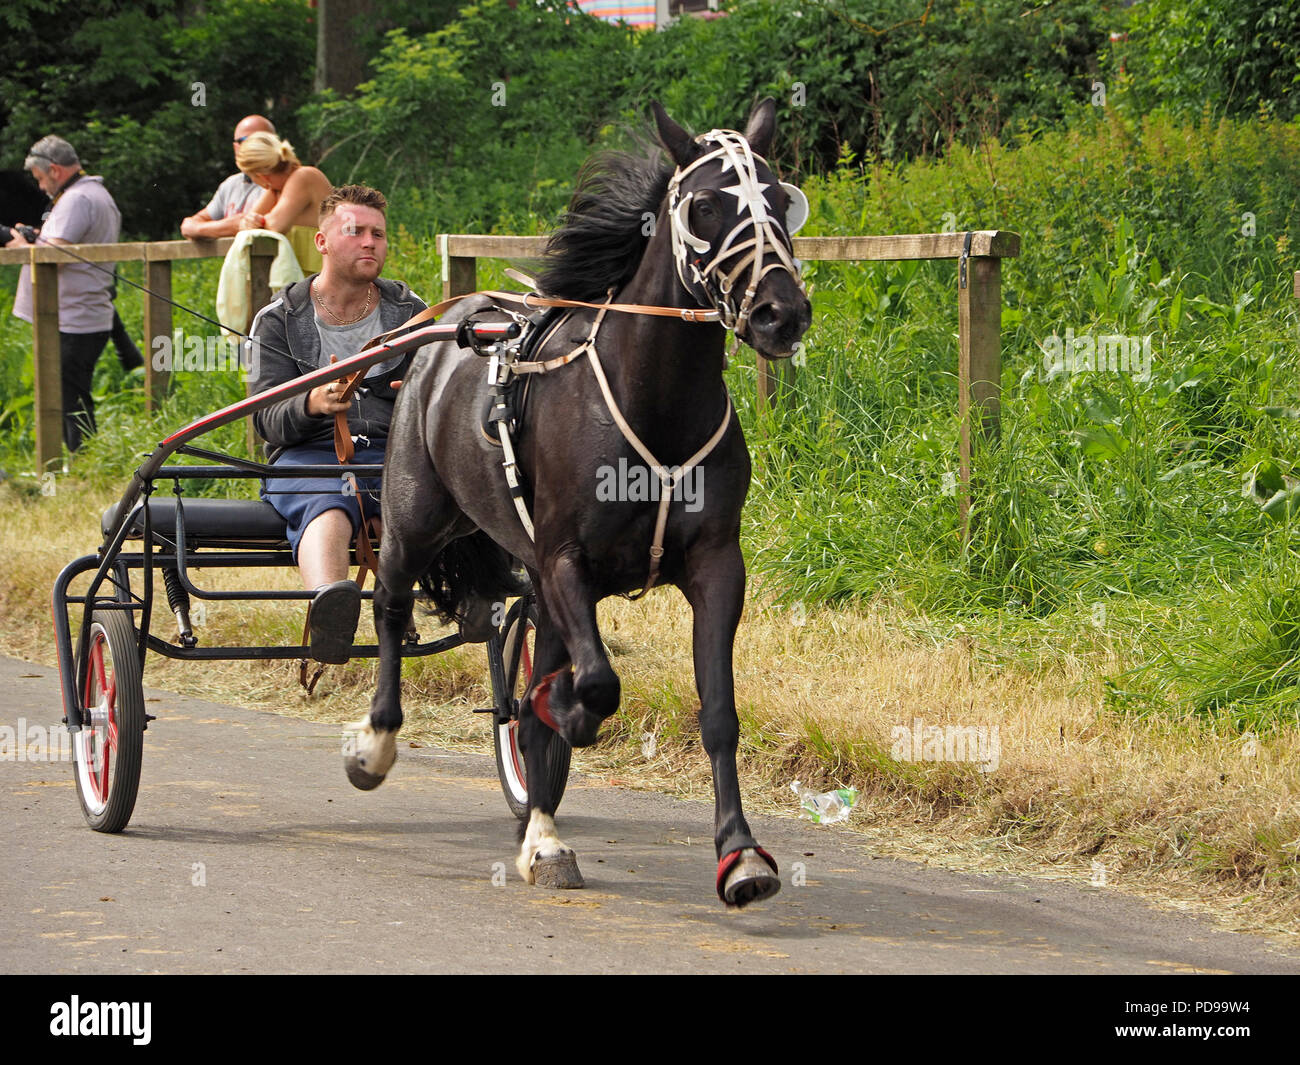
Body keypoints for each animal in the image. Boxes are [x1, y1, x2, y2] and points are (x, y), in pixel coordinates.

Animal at [347, 98, 812, 907]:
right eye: (706, 205)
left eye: (781, 200)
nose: (780, 313)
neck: (655, 406)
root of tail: (450, 325)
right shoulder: (564, 559)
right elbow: (593, 686)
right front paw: (559, 708)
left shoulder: (716, 565)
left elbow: (717, 711)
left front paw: (741, 852)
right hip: (413, 519)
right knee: (392, 608)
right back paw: (379, 744)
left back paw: (544, 832)